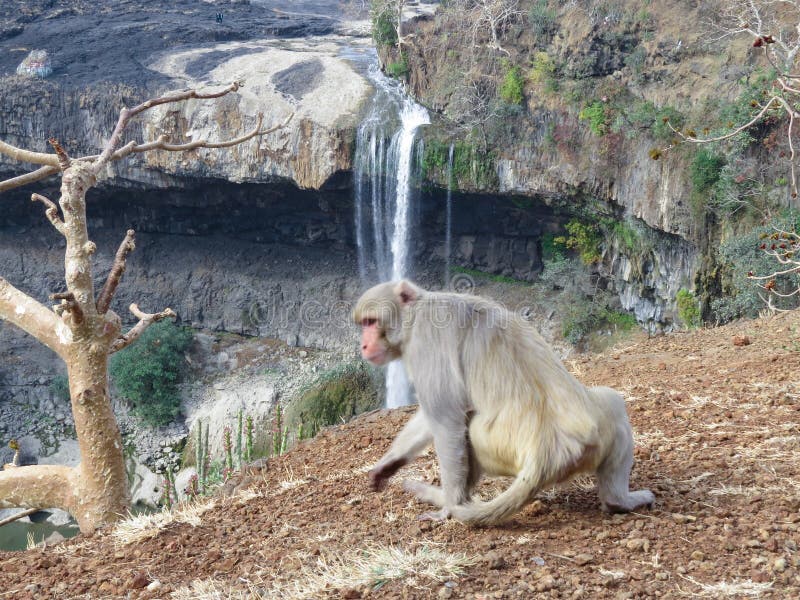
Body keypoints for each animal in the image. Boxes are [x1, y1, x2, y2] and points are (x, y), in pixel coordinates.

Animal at [354, 280, 654, 525]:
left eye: (371, 322)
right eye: (363, 324)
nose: (363, 346)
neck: (415, 314)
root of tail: (550, 450)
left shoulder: (424, 343)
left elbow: (446, 419)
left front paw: (448, 508)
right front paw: (389, 463)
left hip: (496, 445)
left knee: (468, 427)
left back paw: (454, 501)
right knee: (613, 402)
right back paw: (619, 502)